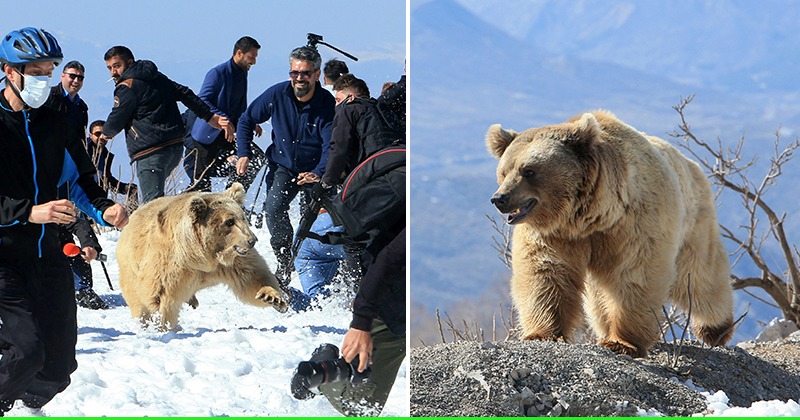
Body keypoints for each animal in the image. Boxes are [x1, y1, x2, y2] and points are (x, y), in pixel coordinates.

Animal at [116, 183, 288, 331]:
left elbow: (253, 278)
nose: (252, 240)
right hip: (130, 269)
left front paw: (272, 297)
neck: (202, 257)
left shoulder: (233, 263)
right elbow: (159, 297)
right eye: (229, 222)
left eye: (242, 217)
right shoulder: (169, 263)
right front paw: (163, 325)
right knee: (137, 301)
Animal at [486, 110, 734, 358]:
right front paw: (542, 333)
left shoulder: (633, 225)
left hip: (693, 219)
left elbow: (635, 275)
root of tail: (691, 163)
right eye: (504, 172)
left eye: (528, 170)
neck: (587, 217)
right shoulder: (555, 235)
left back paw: (715, 328)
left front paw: (622, 342)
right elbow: (546, 273)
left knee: (698, 274)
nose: (499, 198)